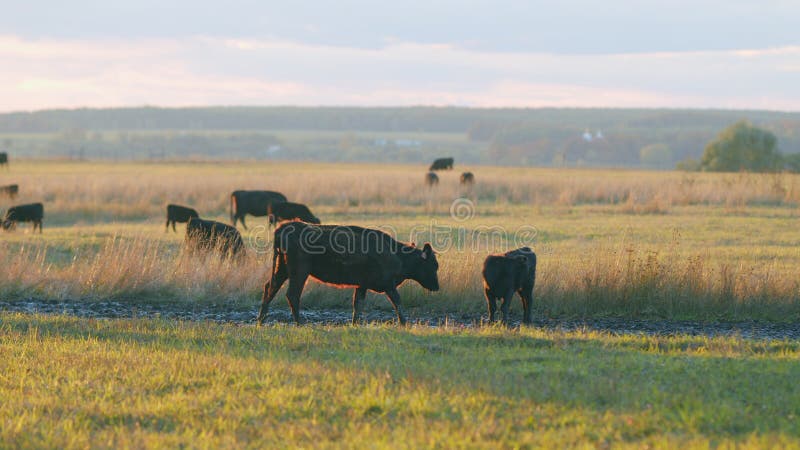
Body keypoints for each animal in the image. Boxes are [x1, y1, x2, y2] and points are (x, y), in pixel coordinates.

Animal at [257, 221, 440, 326]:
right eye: (433, 265)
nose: (437, 287)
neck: (397, 254)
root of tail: (283, 229)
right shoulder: (389, 285)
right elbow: (398, 302)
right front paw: (405, 323)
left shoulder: (362, 285)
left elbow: (357, 305)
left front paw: (354, 324)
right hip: (299, 273)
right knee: (292, 294)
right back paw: (300, 323)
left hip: (282, 270)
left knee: (269, 288)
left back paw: (260, 321)